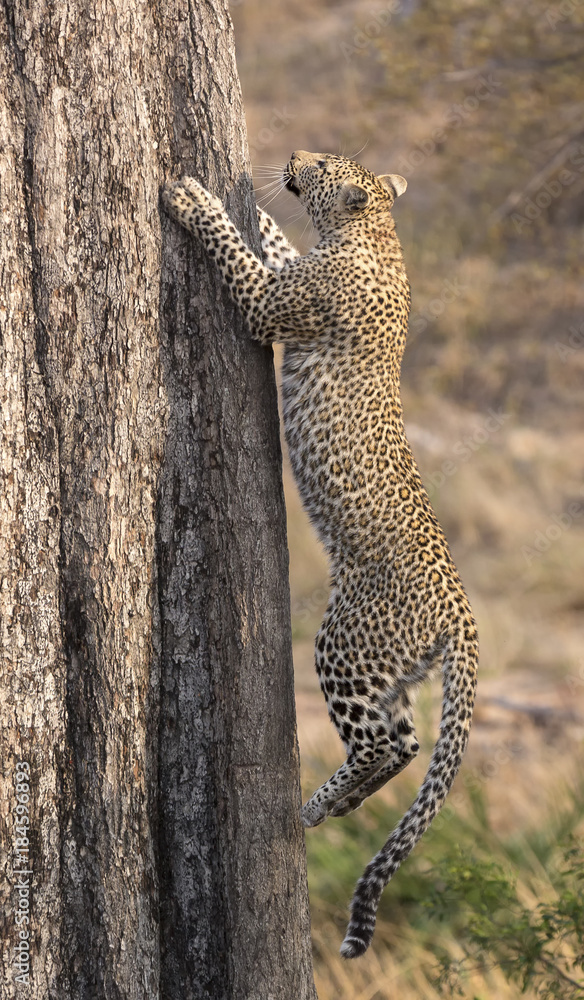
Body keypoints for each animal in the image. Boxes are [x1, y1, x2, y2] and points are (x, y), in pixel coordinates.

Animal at [163, 151, 479, 959]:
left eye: (327, 163)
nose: (295, 158)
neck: (375, 234)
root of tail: (463, 615)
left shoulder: (266, 305)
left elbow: (237, 253)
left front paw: (195, 198)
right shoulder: (292, 270)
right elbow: (274, 242)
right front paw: (251, 194)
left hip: (345, 644)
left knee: (385, 745)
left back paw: (314, 807)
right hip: (393, 671)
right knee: (405, 739)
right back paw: (332, 807)